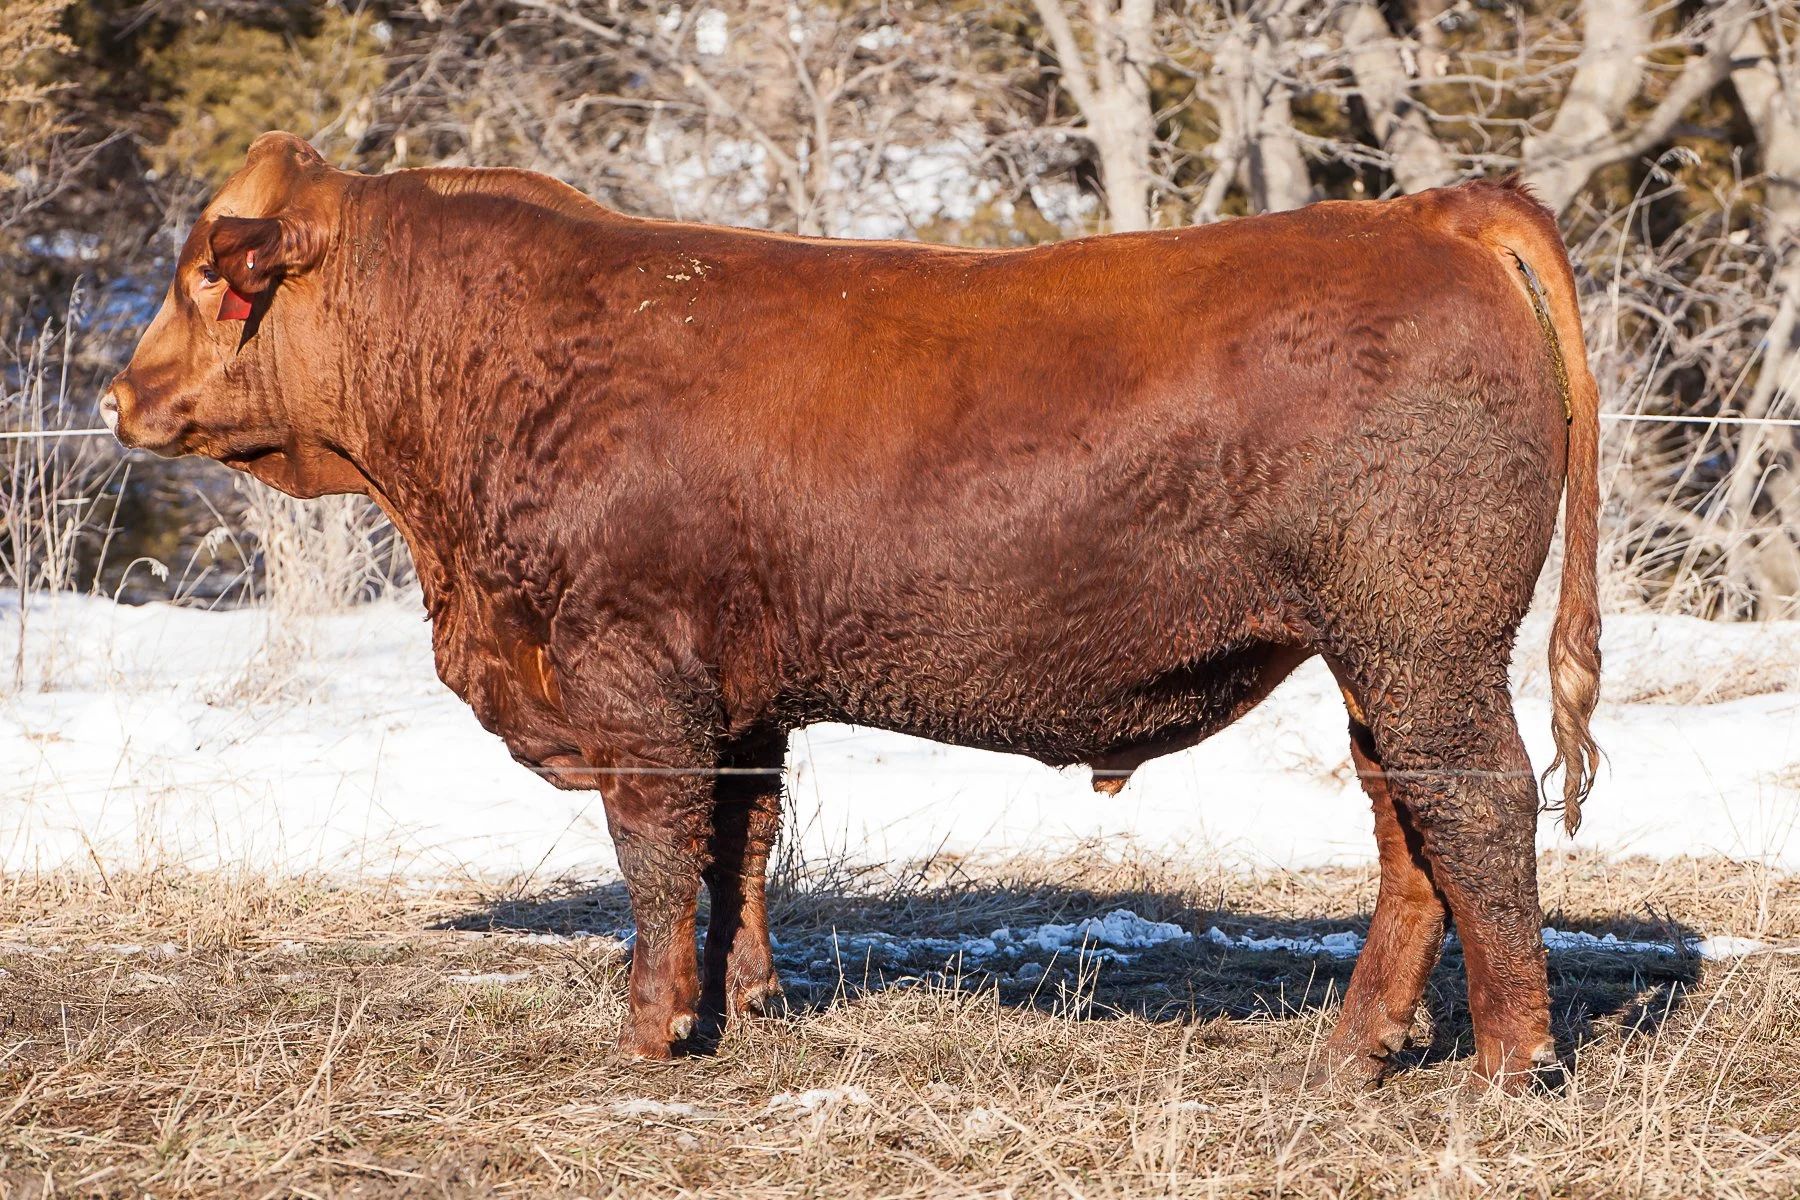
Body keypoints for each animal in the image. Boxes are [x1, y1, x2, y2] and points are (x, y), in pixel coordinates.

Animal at [106, 132, 1601, 1091]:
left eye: (205, 277)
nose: (120, 396)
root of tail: (1422, 214)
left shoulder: (632, 672)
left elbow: (657, 853)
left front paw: (649, 1034)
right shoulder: (741, 697)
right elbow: (740, 849)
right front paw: (745, 1006)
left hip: (1422, 636)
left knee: (1478, 805)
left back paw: (1510, 1063)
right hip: (1377, 653)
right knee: (1410, 831)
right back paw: (1359, 1051)